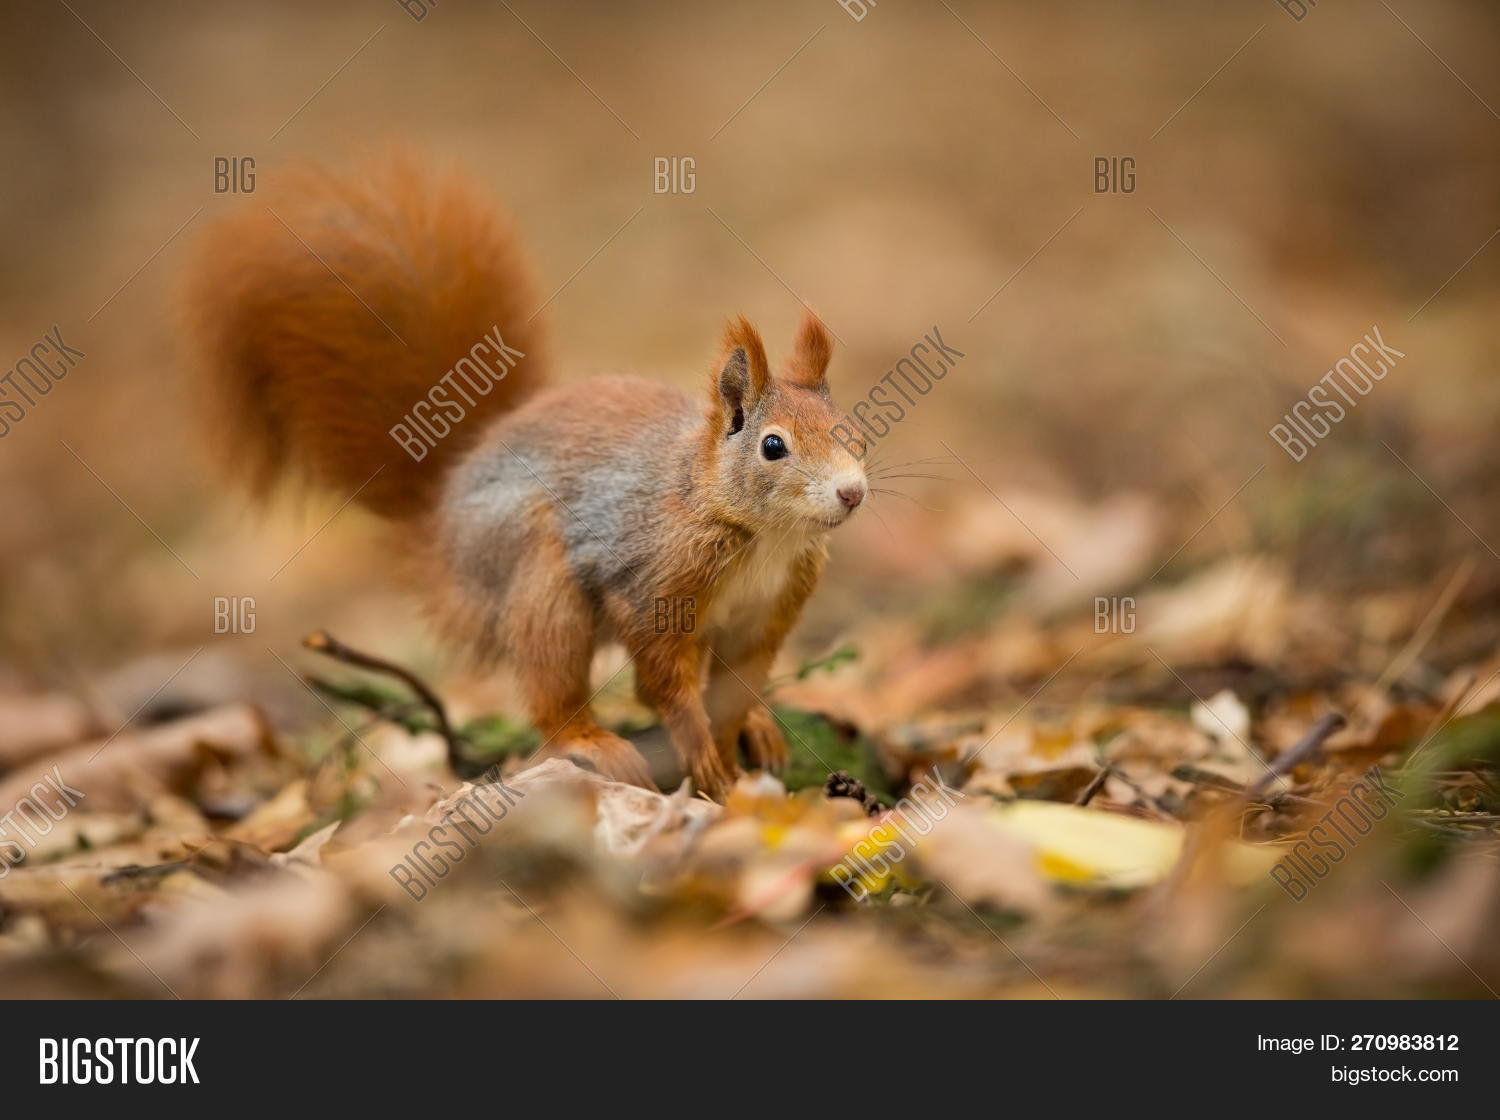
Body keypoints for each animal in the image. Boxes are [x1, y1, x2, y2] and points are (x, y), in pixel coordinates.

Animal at [184, 154, 867, 799]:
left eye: (852, 429)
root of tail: (444, 516)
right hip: (538, 581)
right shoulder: (652, 582)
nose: (852, 491)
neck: (756, 530)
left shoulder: (767, 611)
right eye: (773, 446)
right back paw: (590, 740)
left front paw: (743, 739)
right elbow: (663, 679)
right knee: (553, 688)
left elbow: (735, 687)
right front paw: (705, 757)